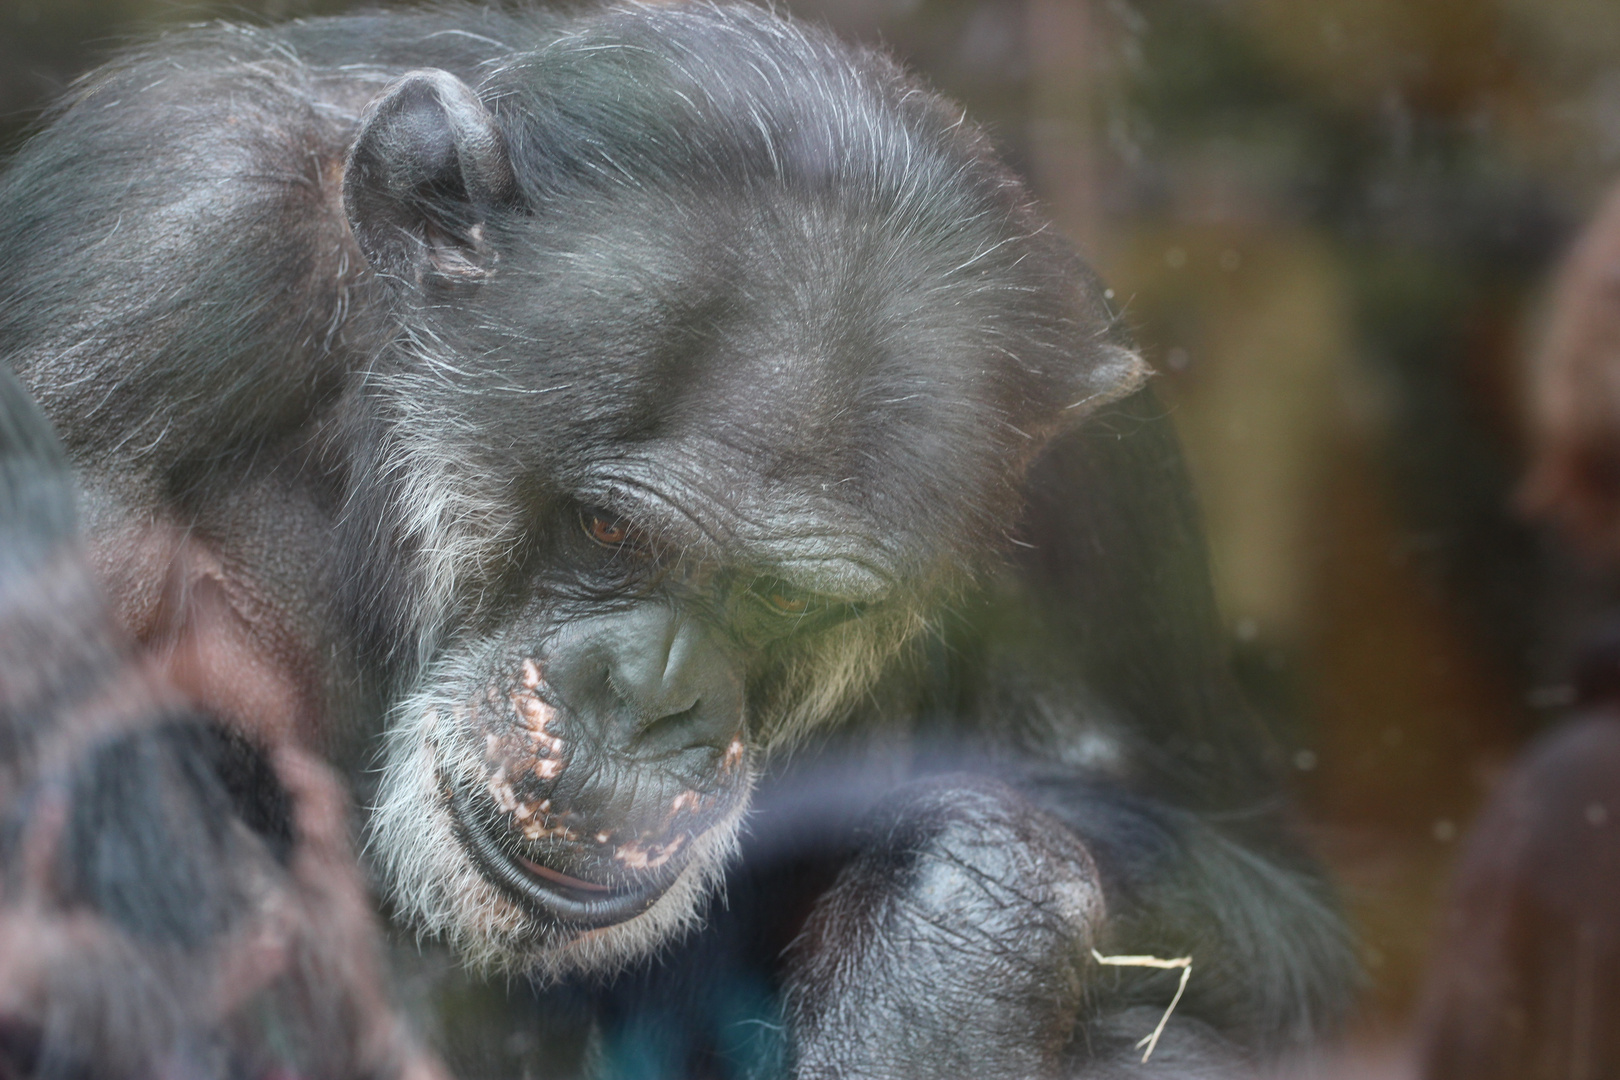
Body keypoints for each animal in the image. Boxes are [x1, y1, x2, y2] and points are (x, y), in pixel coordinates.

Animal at [0, 3, 1352, 1076]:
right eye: (607, 526)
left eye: (792, 601)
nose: (648, 700)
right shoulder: (154, 262)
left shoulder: (1094, 476)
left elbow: (1277, 918)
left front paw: (954, 948)